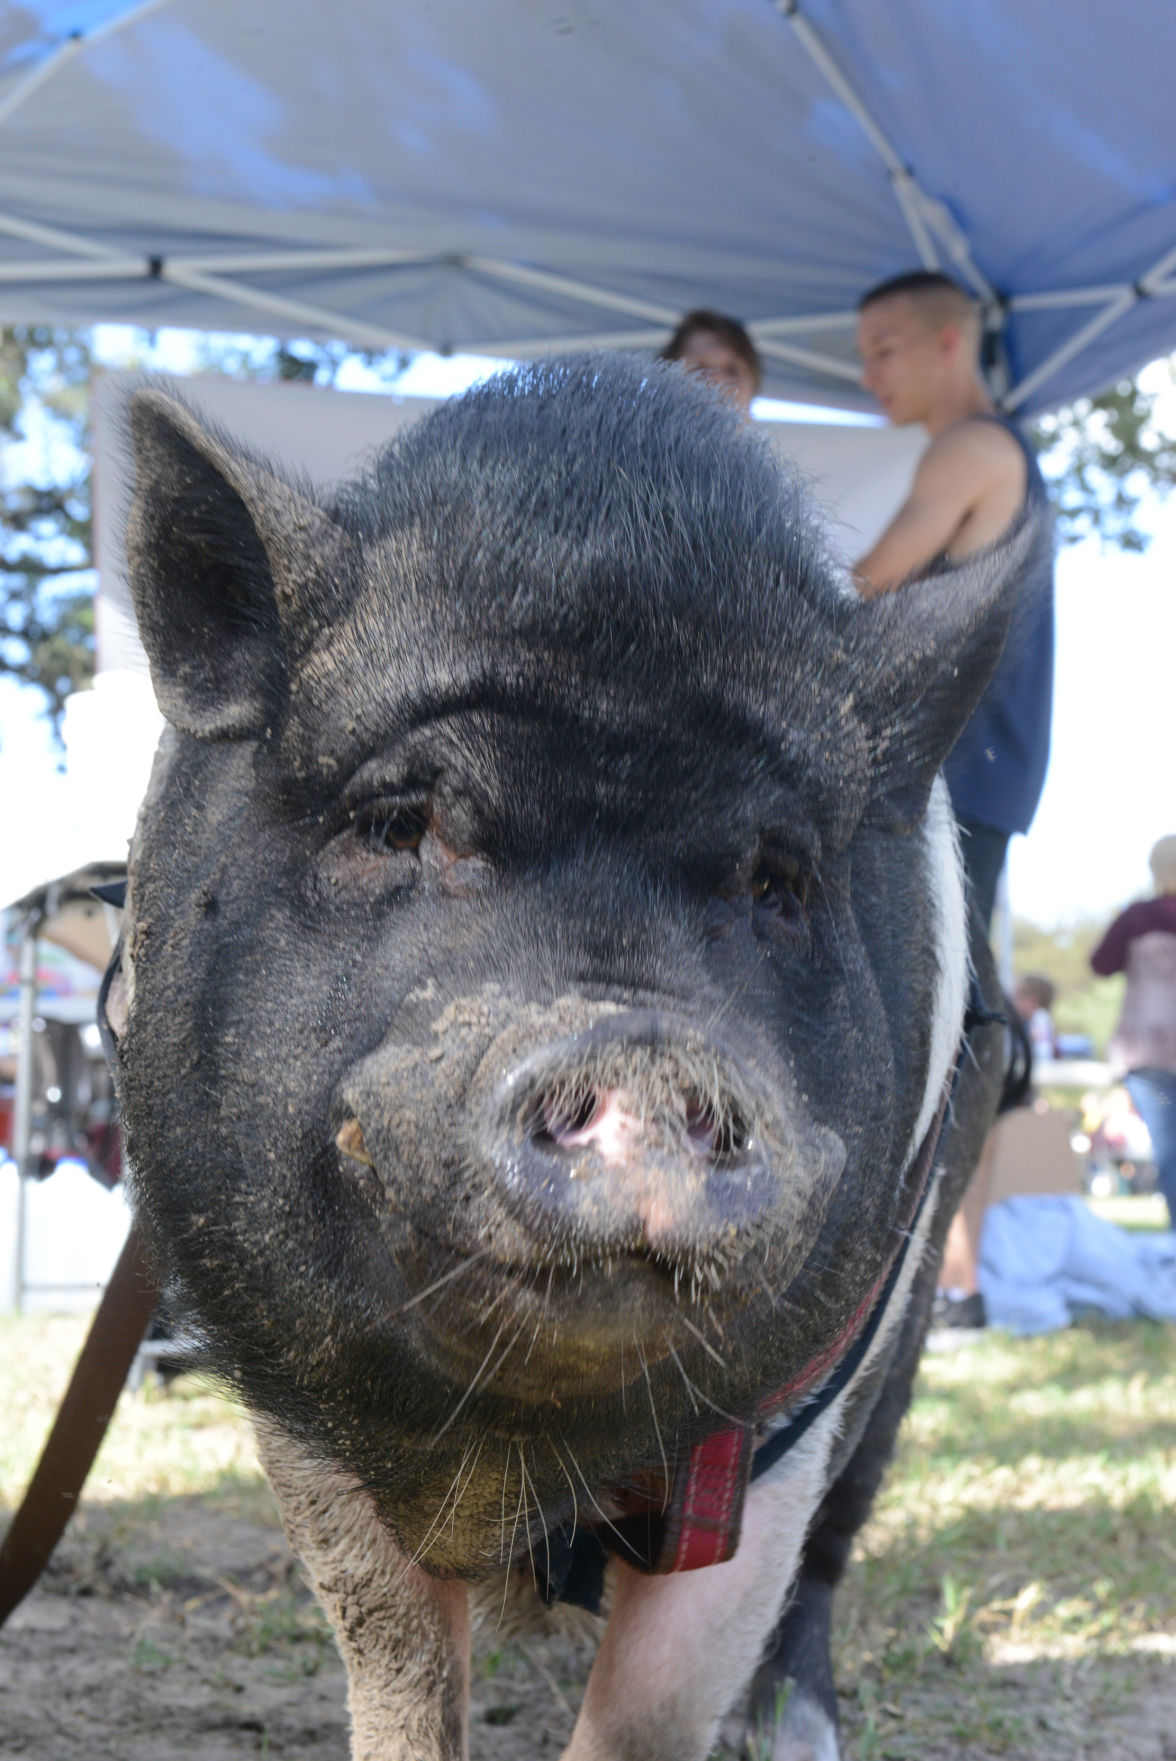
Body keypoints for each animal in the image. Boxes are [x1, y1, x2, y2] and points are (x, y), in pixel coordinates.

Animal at [102, 357, 1045, 1761]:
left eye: (779, 884)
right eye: (399, 821)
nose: (642, 1044)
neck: (512, 1445)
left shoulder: (791, 1409)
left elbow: (663, 1692)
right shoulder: (291, 1390)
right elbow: (393, 1656)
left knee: (840, 1536)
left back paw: (801, 1728)